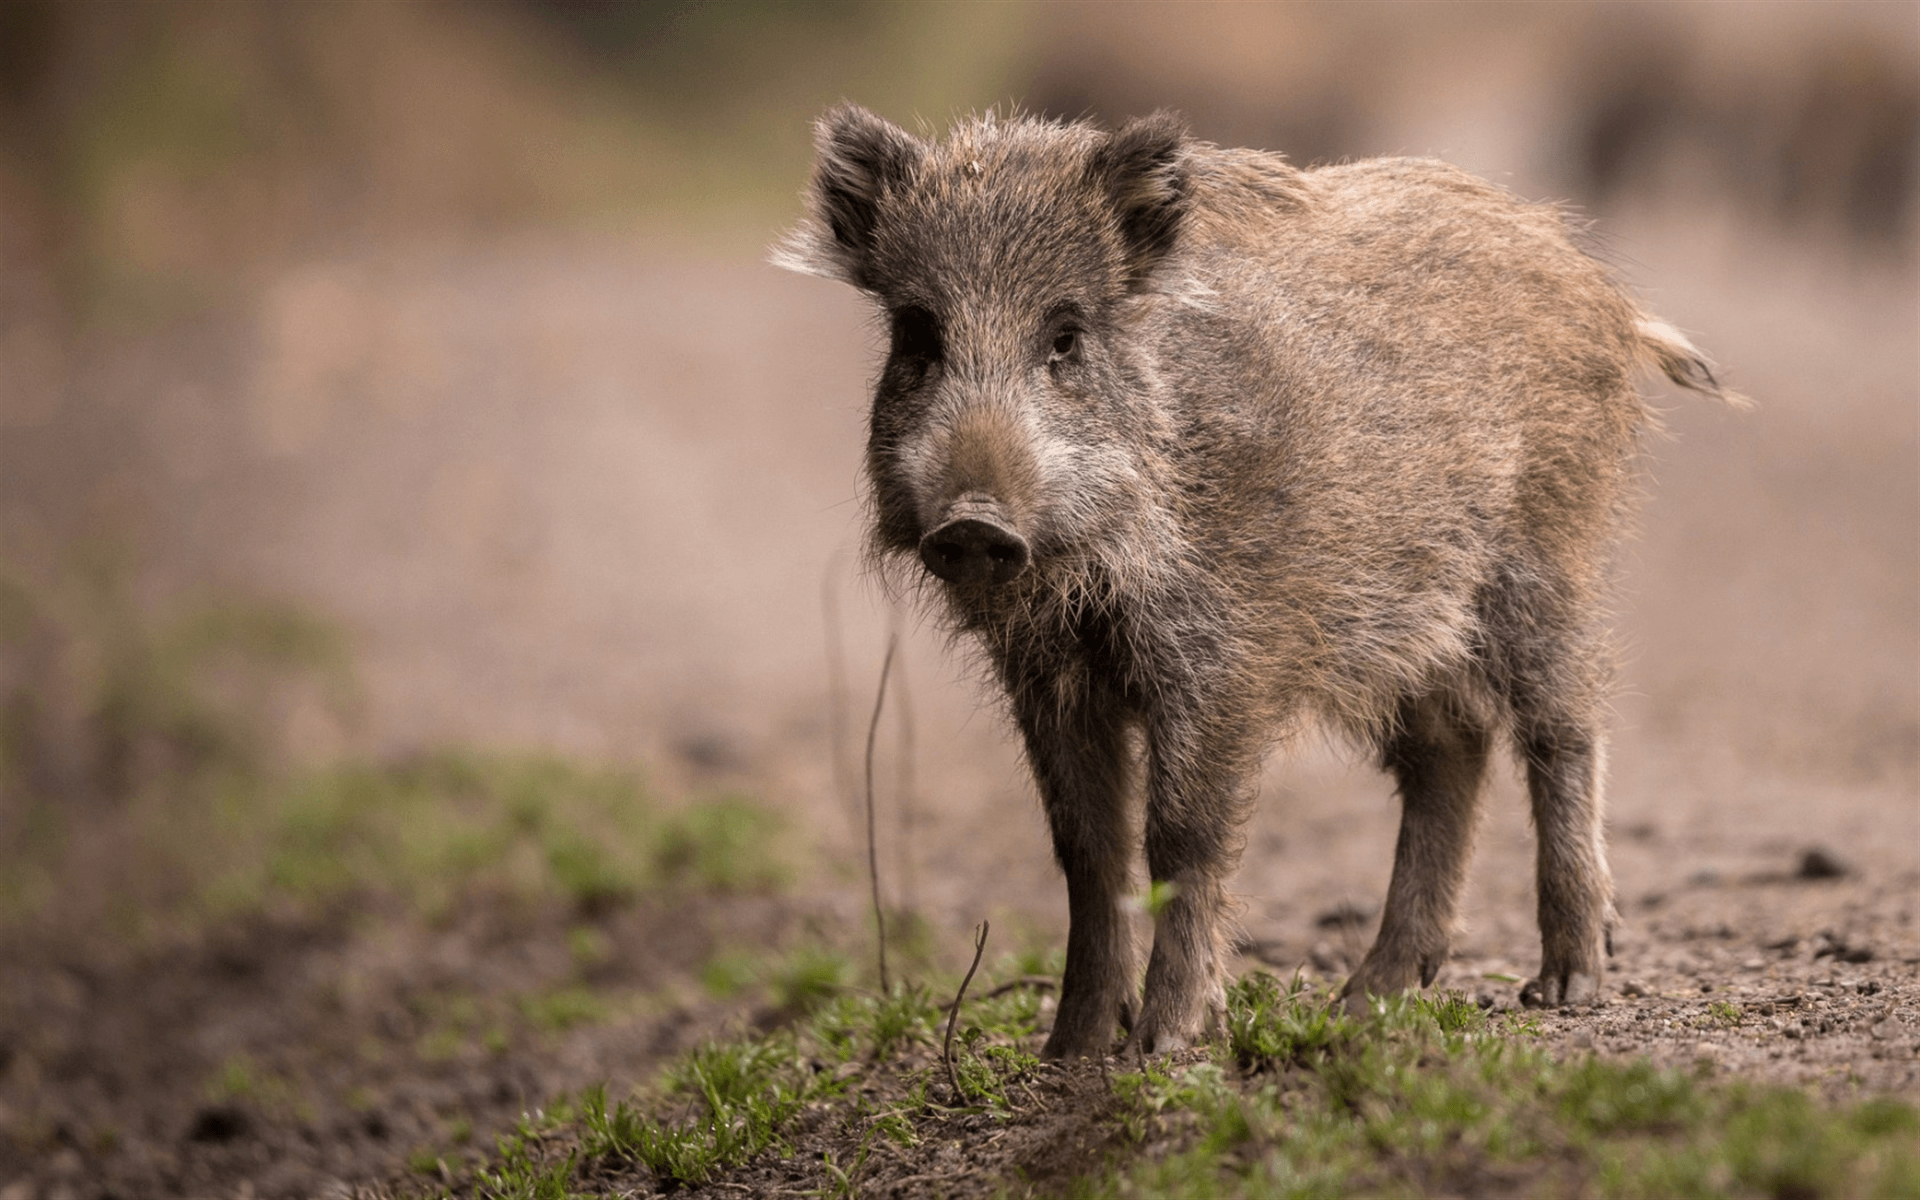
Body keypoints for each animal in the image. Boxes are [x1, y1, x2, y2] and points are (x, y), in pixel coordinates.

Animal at [773, 105, 1741, 1059]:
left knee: (1563, 728)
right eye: (918, 335)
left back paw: (1564, 986)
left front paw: (1164, 1044)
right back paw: (1367, 1002)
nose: (973, 523)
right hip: (1408, 622)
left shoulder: (1225, 654)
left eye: (1065, 335)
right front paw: (1070, 1052)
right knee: (1453, 749)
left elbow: (1182, 834)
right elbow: (1087, 847)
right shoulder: (1047, 672)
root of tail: (1598, 287)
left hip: (1546, 555)